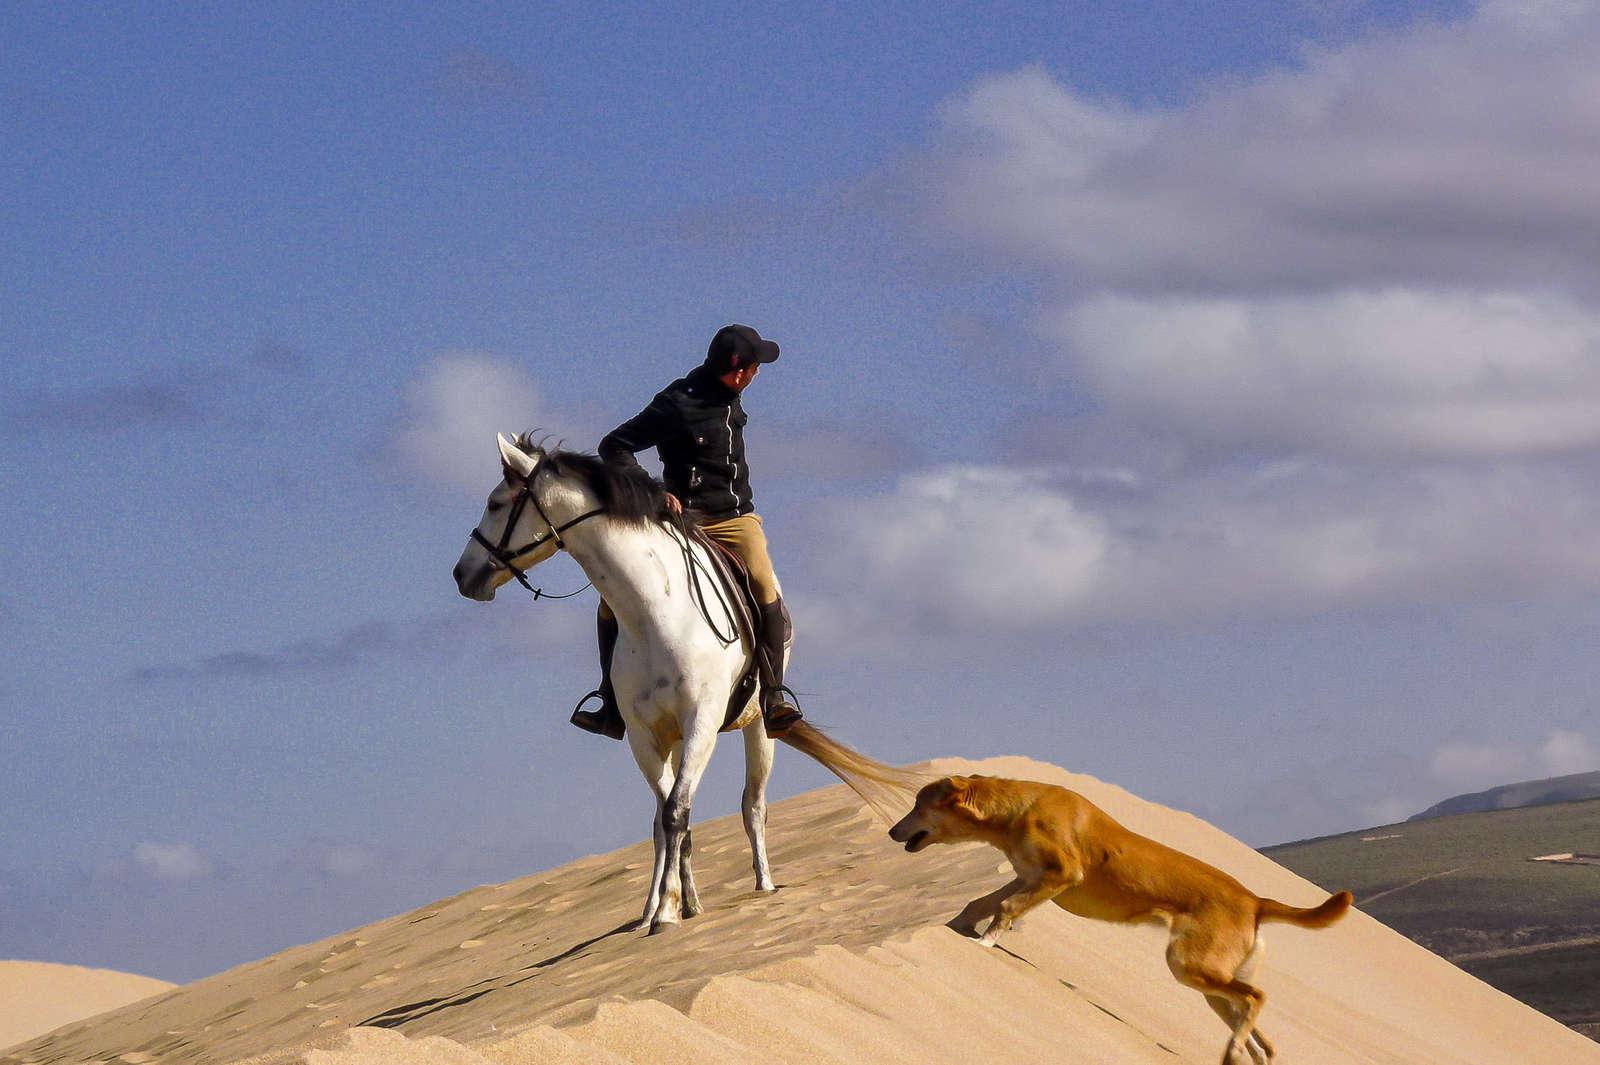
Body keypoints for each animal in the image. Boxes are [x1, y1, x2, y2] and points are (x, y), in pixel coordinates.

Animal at [453, 433, 924, 933]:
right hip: (673, 738)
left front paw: (668, 913)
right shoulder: (643, 735)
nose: (462, 574)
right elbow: (670, 819)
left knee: (752, 806)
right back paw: (668, 905)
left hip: (759, 728)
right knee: (668, 821)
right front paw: (670, 906)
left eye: (495, 503)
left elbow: (678, 811)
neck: (653, 612)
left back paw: (764, 885)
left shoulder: (702, 721)